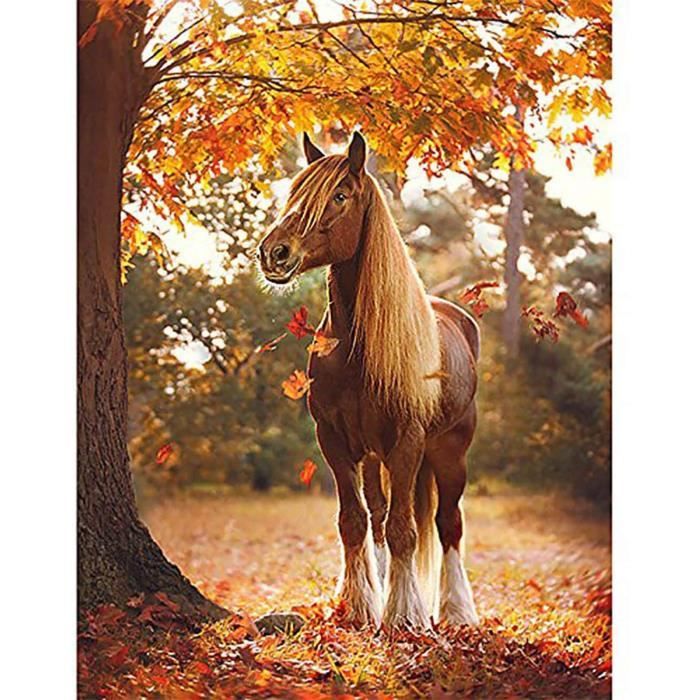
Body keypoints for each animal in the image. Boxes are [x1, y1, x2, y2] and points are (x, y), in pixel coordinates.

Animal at [258, 132, 480, 629]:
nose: (274, 252)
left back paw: (457, 611)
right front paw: (360, 606)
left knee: (448, 524)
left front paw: (404, 616)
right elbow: (355, 521)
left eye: (339, 196)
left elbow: (404, 529)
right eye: (294, 192)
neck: (355, 351)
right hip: (377, 456)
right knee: (378, 517)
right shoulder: (335, 441)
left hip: (449, 452)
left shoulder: (408, 440)